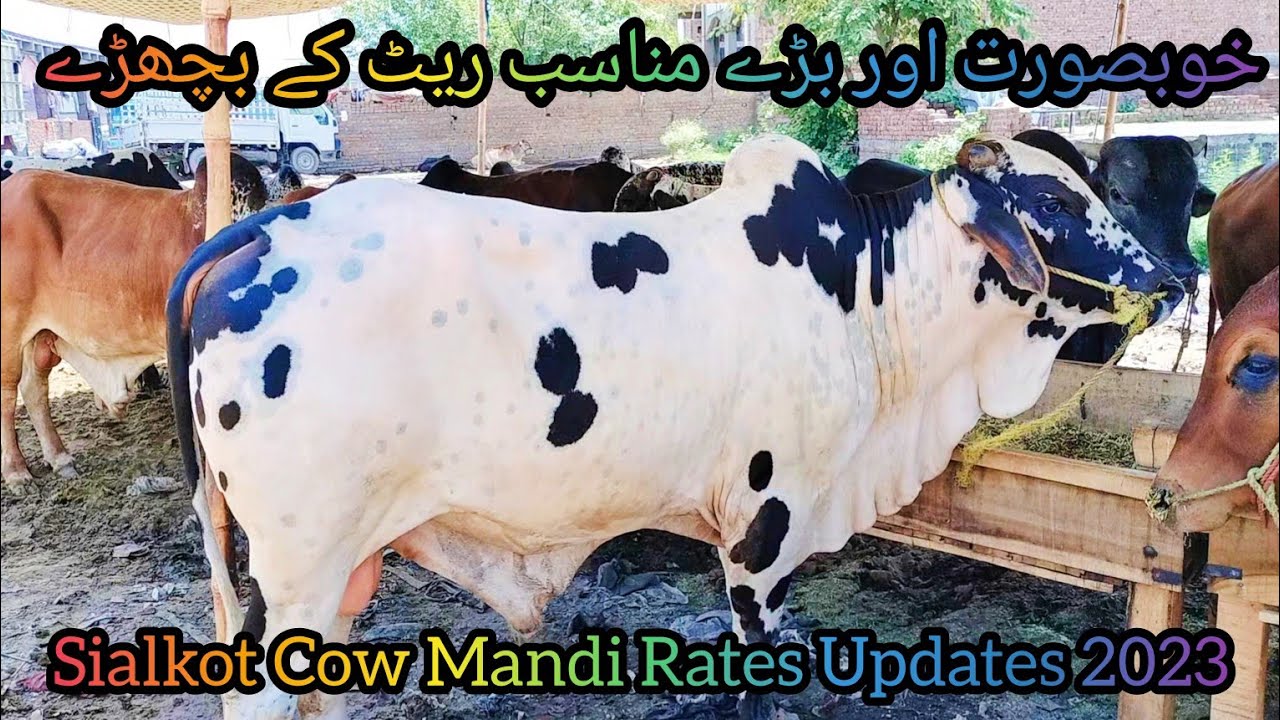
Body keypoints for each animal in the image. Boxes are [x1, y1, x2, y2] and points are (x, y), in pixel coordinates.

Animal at [0, 154, 267, 484]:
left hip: (40, 335)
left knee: (34, 389)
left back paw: (60, 458)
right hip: (9, 329)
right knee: (7, 397)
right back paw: (16, 471)